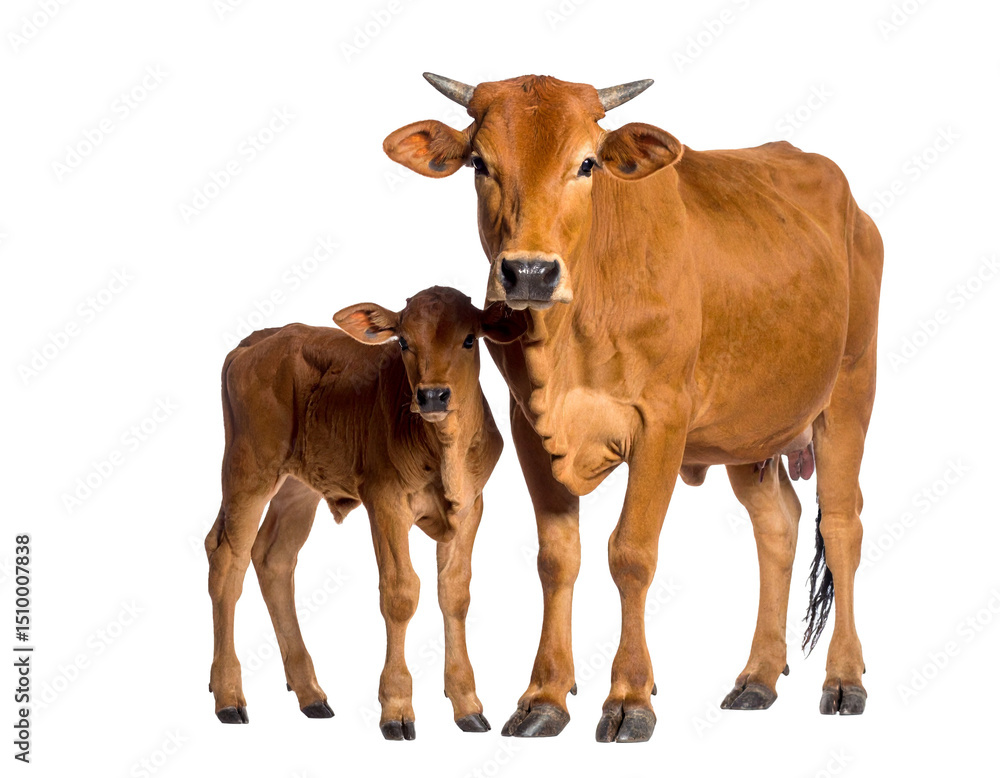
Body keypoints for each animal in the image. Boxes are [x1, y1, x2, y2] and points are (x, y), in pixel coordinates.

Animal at [204, 286, 525, 739]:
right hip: (248, 471)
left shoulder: (472, 506)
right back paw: (229, 695)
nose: (432, 395)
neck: (444, 452)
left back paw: (310, 693)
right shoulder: (385, 502)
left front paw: (466, 703)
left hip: (296, 487)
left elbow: (455, 594)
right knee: (227, 561)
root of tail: (258, 340)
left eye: (469, 339)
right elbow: (400, 593)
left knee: (272, 558)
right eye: (403, 341)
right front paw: (396, 707)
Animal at [383, 74, 883, 742]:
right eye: (479, 164)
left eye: (587, 163)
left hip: (849, 393)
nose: (530, 273)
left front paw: (629, 697)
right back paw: (756, 677)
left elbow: (631, 554)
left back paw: (845, 679)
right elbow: (557, 558)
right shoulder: (528, 426)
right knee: (778, 523)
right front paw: (545, 696)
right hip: (749, 432)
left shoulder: (662, 423)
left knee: (843, 524)